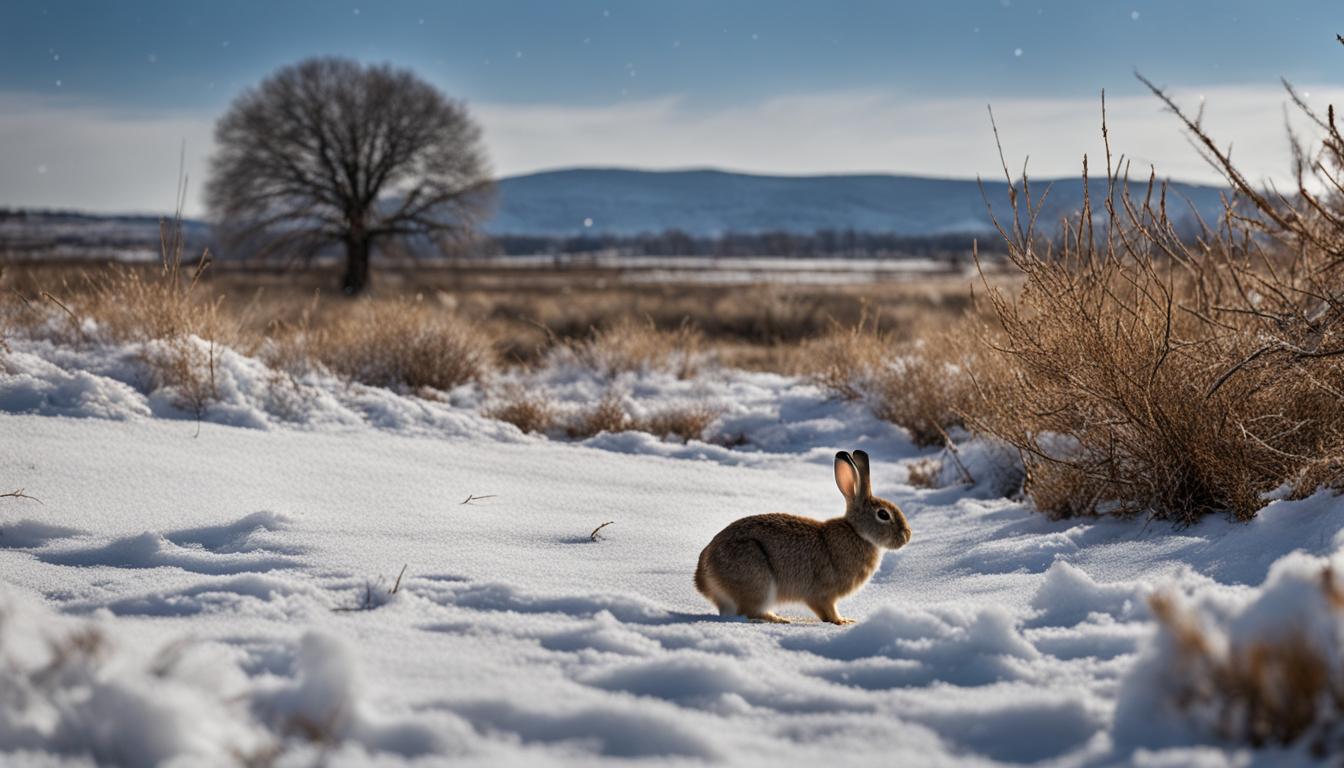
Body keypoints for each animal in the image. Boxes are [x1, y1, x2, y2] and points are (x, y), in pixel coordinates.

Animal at [694, 449, 911, 625]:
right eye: (883, 515)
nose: (907, 535)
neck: (857, 532)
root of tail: (704, 575)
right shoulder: (823, 594)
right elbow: (827, 610)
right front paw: (842, 622)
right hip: (757, 579)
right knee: (748, 611)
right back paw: (778, 619)